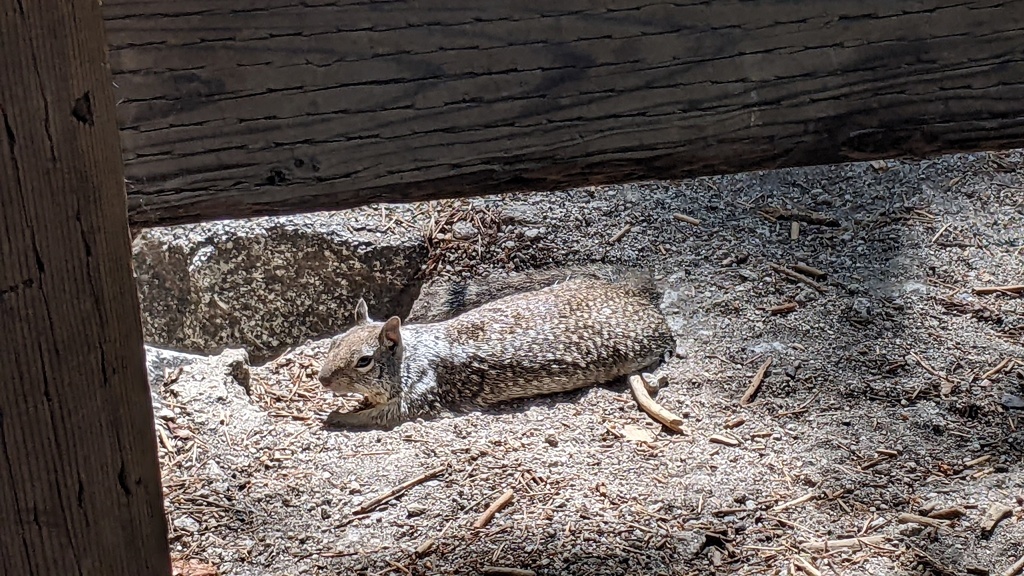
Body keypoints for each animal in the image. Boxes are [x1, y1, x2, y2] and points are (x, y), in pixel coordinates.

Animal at [318, 266, 676, 429]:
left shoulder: (421, 394)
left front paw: (338, 416)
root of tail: (633, 292)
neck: (413, 355)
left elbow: (381, 416)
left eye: (364, 361)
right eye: (334, 342)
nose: (322, 379)